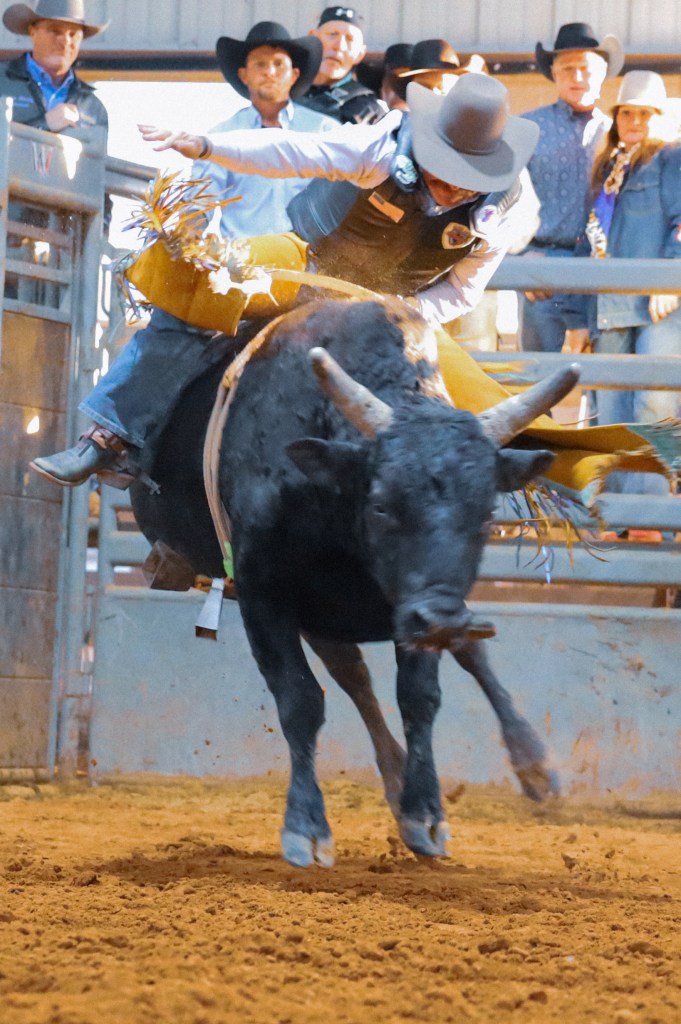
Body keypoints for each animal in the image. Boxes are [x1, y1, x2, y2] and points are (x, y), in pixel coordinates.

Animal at [130, 298, 578, 867]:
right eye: (382, 504)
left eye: (486, 514)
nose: (443, 617)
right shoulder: (263, 594)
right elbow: (301, 699)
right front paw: (306, 827)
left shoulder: (410, 609)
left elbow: (419, 698)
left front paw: (424, 812)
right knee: (353, 678)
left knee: (457, 659)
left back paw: (533, 766)